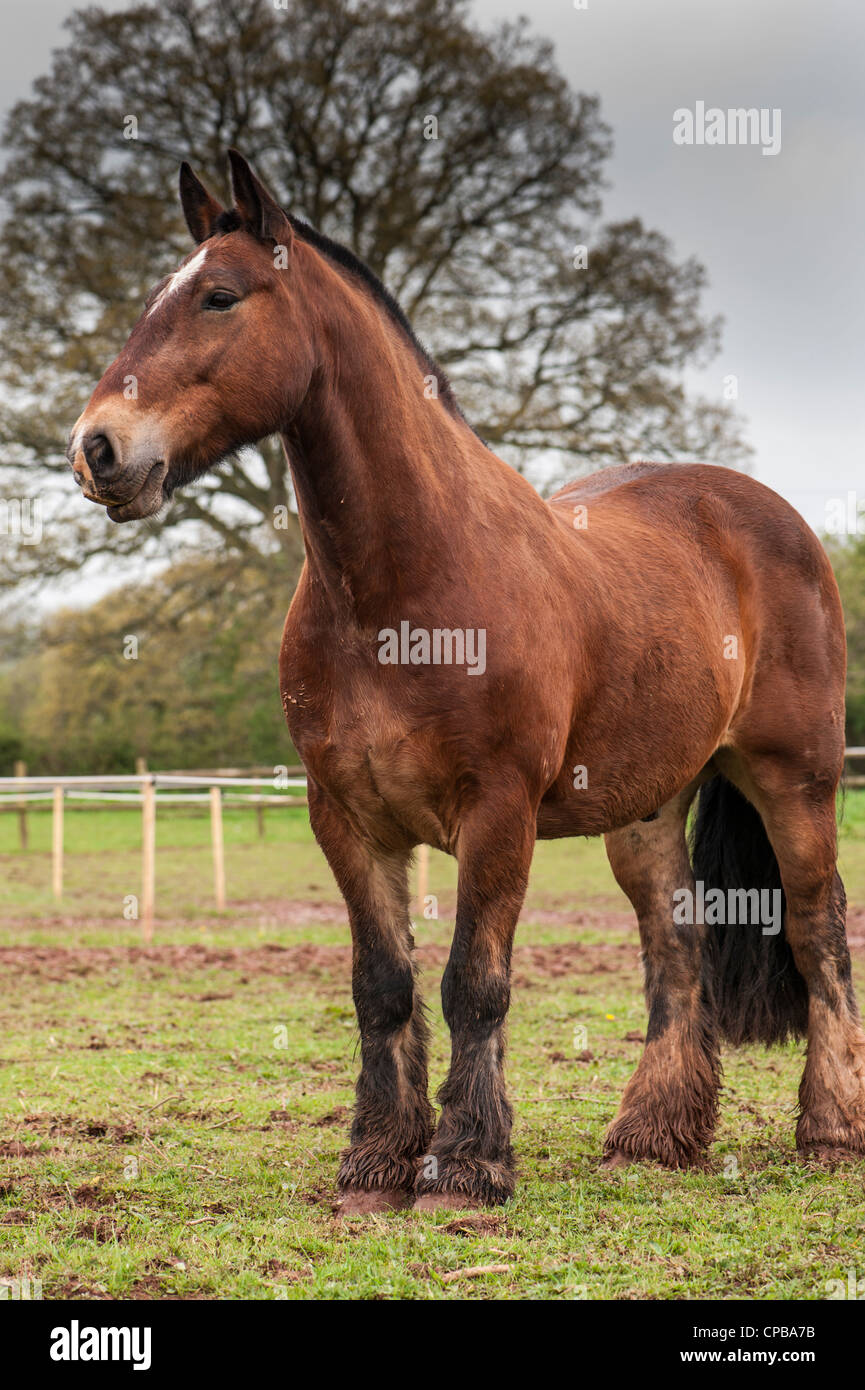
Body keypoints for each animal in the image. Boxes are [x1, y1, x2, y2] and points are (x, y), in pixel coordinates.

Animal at [67, 150, 865, 1212]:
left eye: (218, 297)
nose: (97, 449)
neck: (401, 590)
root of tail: (763, 515)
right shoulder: (347, 818)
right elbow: (382, 985)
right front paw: (375, 1159)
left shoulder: (497, 813)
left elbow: (471, 985)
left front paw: (469, 1163)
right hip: (646, 808)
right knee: (674, 944)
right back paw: (652, 1134)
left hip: (795, 780)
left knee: (819, 931)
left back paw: (829, 1131)